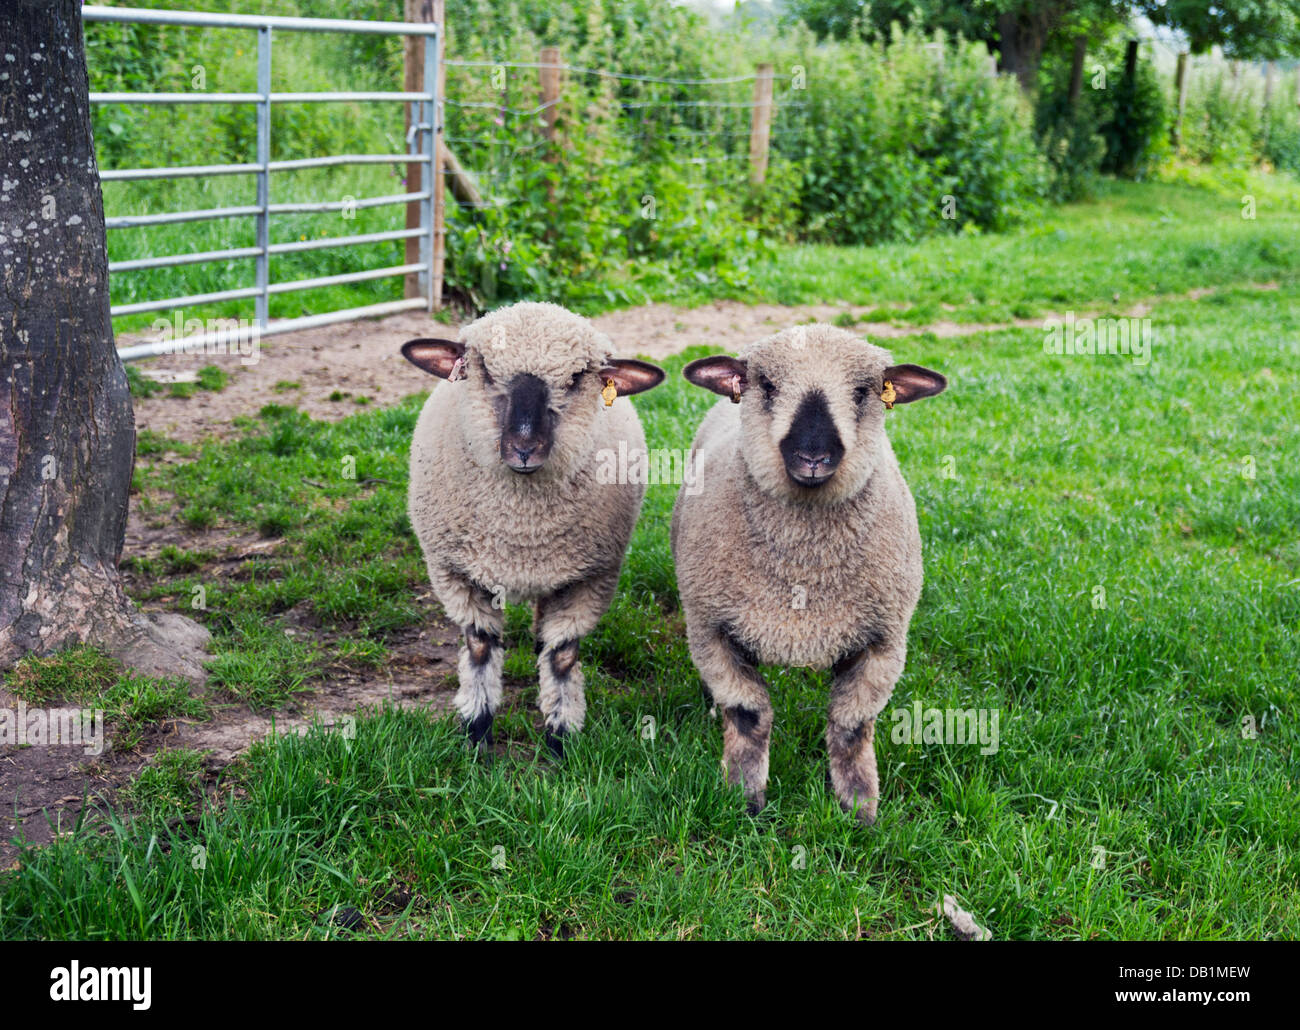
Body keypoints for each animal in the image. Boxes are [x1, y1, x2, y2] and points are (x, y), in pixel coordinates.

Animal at [402, 301, 665, 755]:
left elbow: (562, 657)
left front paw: (560, 739)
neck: (523, 528)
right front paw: (477, 733)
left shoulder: (588, 578)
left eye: (576, 377)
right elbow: (479, 648)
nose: (524, 448)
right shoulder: (457, 573)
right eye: (485, 370)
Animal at [671, 325, 946, 823]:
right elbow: (749, 713)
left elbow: (851, 726)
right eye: (767, 385)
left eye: (863, 391)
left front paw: (859, 809)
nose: (813, 455)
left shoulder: (885, 643)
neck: (803, 572)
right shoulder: (711, 629)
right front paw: (744, 799)